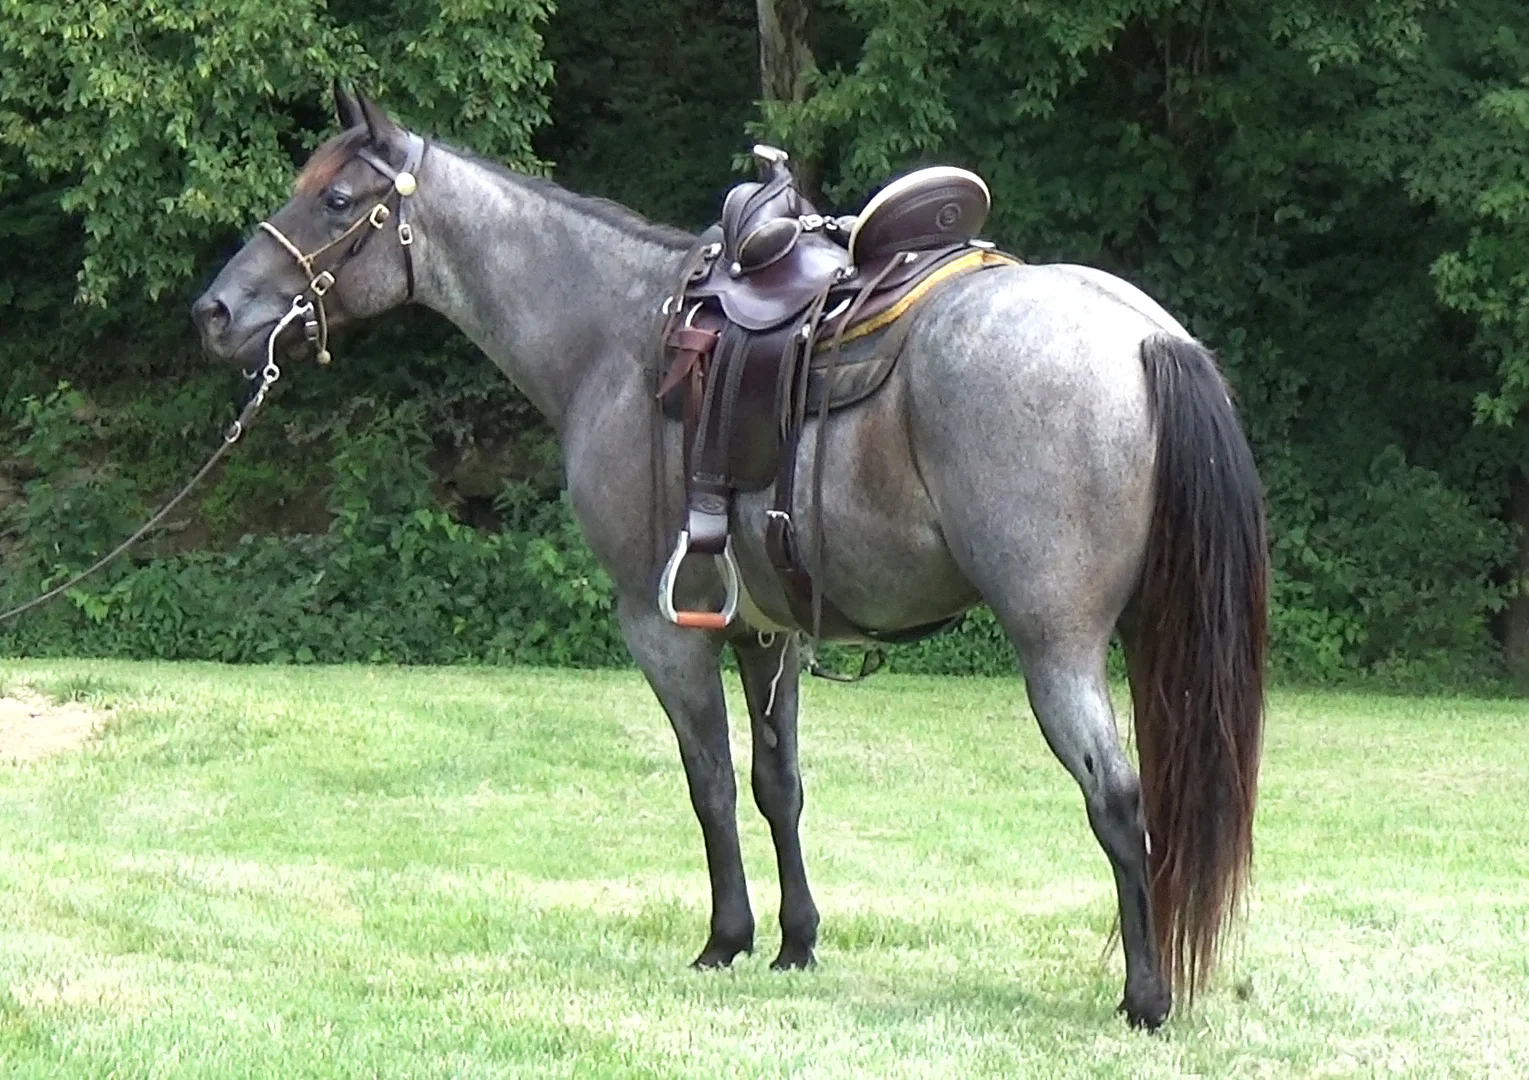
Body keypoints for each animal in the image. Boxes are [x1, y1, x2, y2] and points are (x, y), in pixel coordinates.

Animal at [191, 87, 1267, 1030]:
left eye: (336, 199)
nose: (215, 313)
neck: (615, 337)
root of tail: (1144, 337)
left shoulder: (660, 625)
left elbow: (707, 781)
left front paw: (725, 939)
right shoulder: (766, 630)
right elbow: (776, 784)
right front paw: (795, 942)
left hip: (1056, 647)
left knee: (1116, 799)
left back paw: (1144, 998)